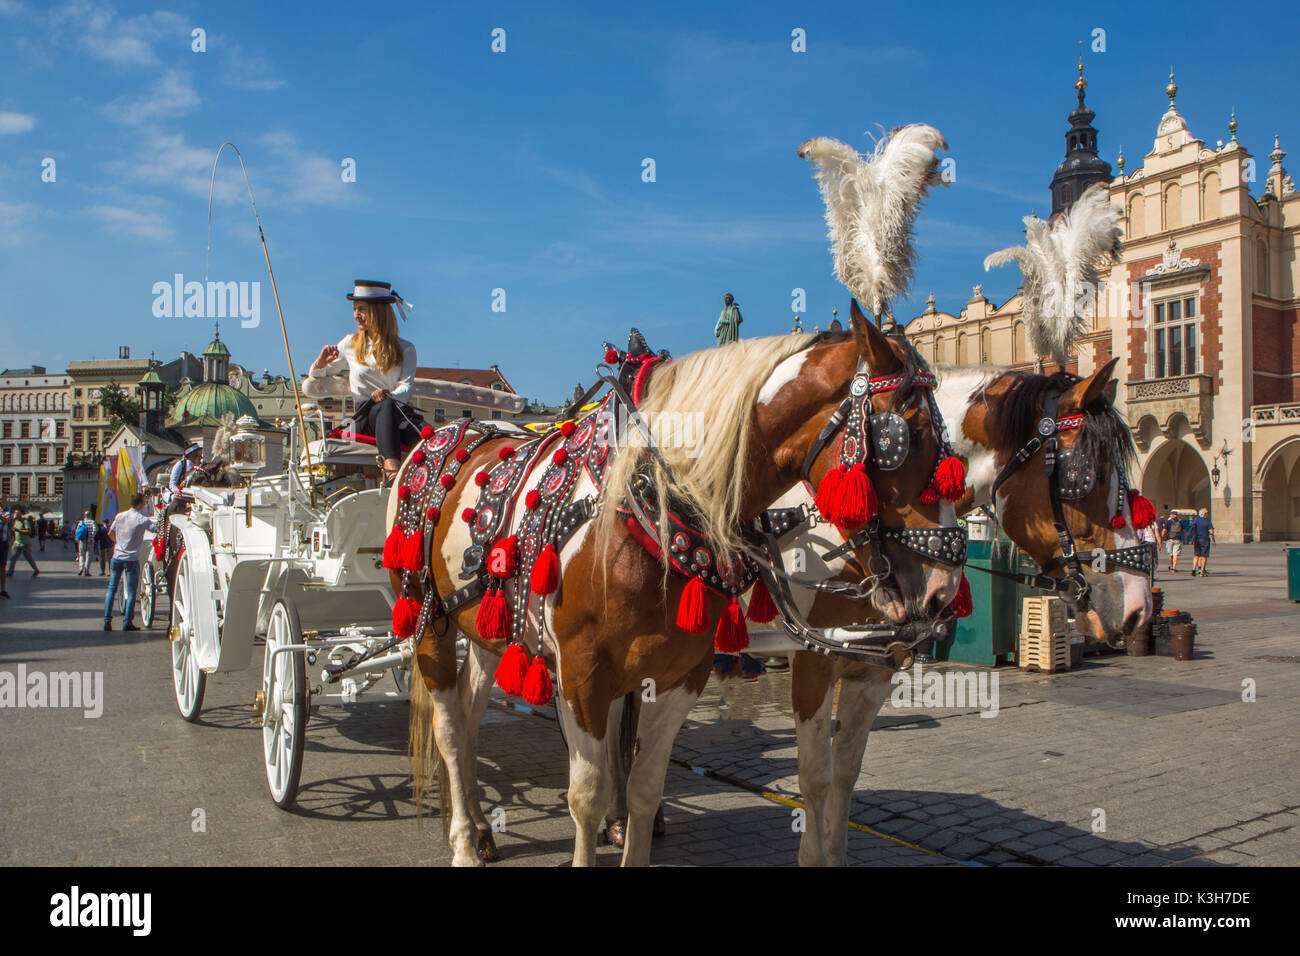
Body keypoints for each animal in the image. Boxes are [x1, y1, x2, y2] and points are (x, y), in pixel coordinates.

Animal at [393, 308, 967, 865]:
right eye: (909, 436)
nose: (943, 589)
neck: (648, 507)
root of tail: (449, 432)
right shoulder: (580, 676)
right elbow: (587, 797)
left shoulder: (680, 676)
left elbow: (646, 790)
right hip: (428, 622)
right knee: (448, 728)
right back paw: (464, 844)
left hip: (490, 630)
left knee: (470, 714)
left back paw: (477, 826)